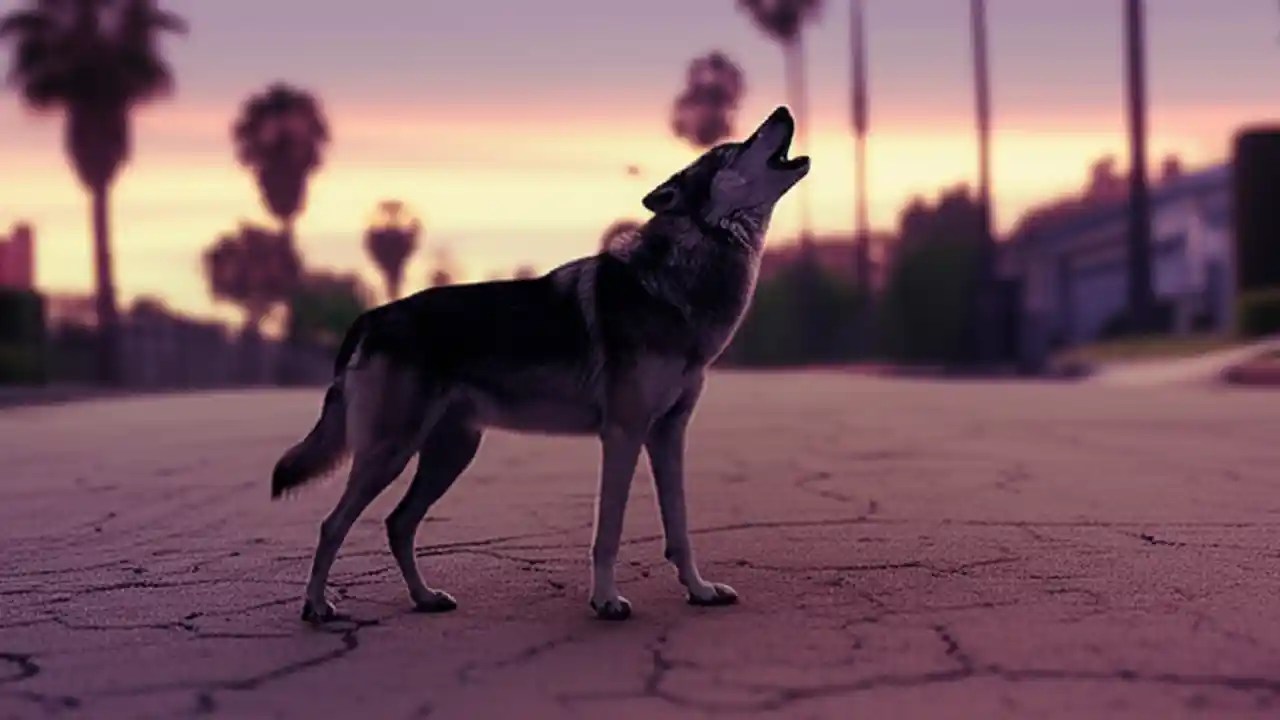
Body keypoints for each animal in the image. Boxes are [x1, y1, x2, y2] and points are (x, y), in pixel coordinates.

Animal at [271, 106, 811, 623]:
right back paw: (316, 607)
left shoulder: (667, 435)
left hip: (450, 454)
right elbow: (608, 532)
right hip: (390, 453)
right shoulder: (623, 434)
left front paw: (699, 591)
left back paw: (424, 598)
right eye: (731, 149)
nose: (784, 110)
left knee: (398, 522)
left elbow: (679, 527)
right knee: (333, 524)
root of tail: (372, 315)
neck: (676, 281)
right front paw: (606, 602)